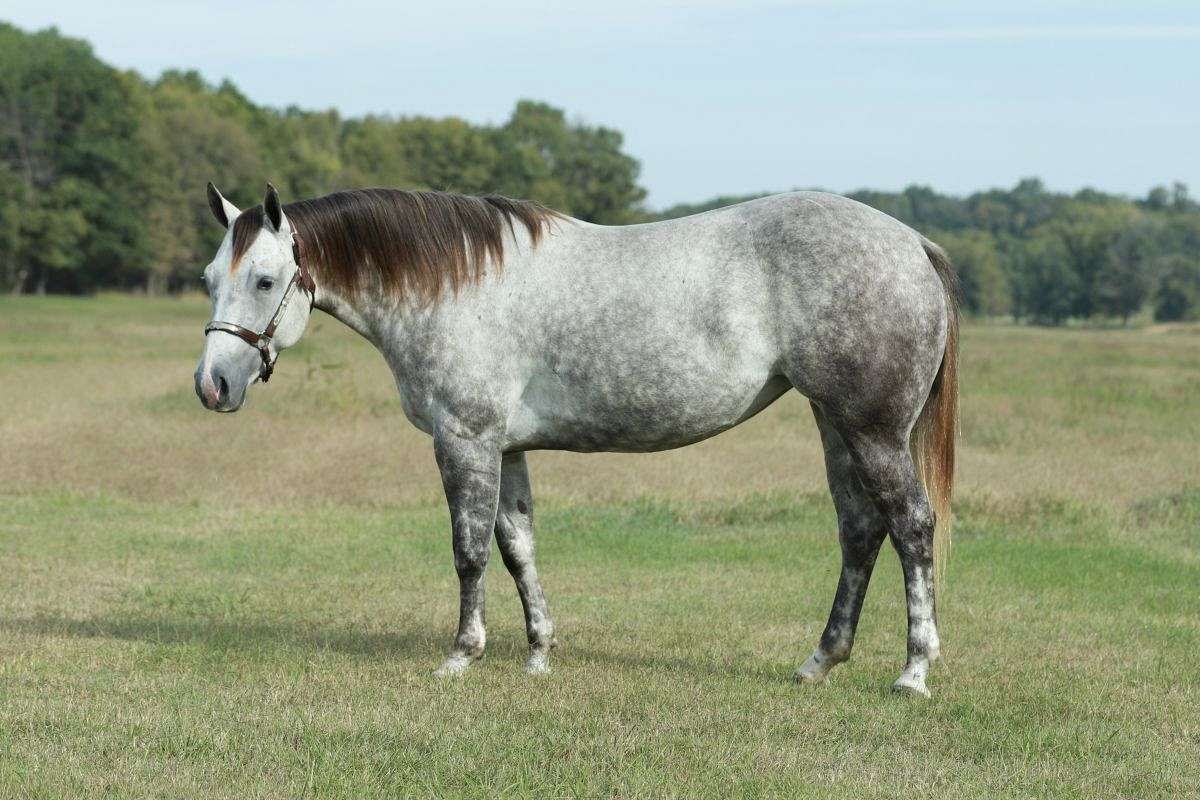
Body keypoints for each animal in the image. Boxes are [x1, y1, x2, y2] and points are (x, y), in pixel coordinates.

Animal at [194, 182, 958, 697]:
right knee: (859, 531)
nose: (212, 385)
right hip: (835, 424)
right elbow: (517, 547)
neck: (458, 285)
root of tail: (911, 243)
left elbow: (469, 552)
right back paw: (819, 662)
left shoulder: (465, 439)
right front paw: (538, 653)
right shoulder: (506, 448)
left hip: (873, 431)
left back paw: (914, 670)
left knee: (912, 526)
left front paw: (461, 654)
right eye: (208, 279)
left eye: (264, 279)